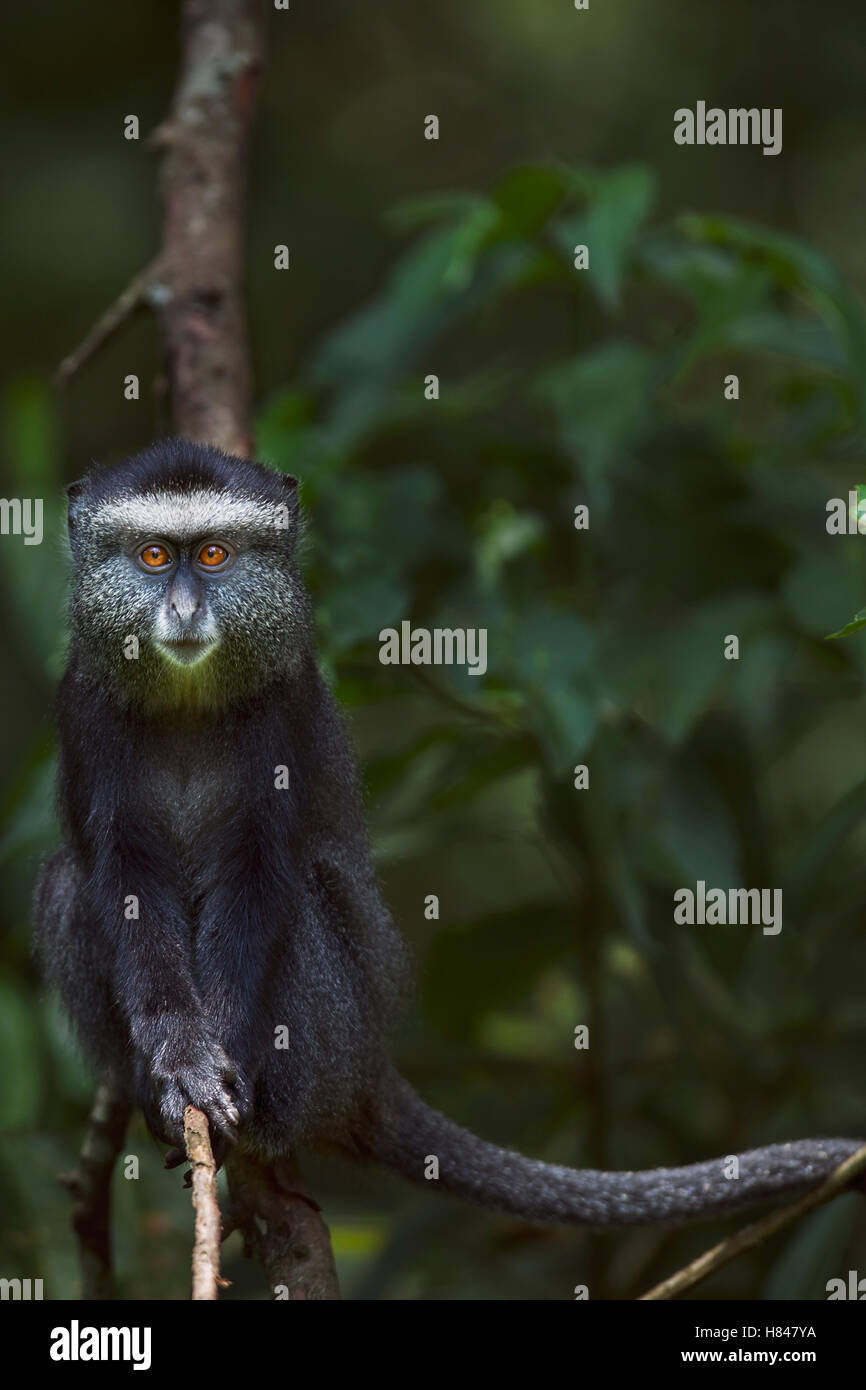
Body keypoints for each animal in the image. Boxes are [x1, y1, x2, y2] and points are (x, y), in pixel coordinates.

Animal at [32, 437, 863, 1229]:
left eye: (212, 555)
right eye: (152, 556)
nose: (181, 609)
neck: (189, 703)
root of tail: (369, 1071)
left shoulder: (285, 708)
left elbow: (261, 872)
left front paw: (222, 1057)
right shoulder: (83, 710)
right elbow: (122, 877)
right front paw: (181, 1063)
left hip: (338, 1028)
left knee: (302, 896)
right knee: (67, 881)